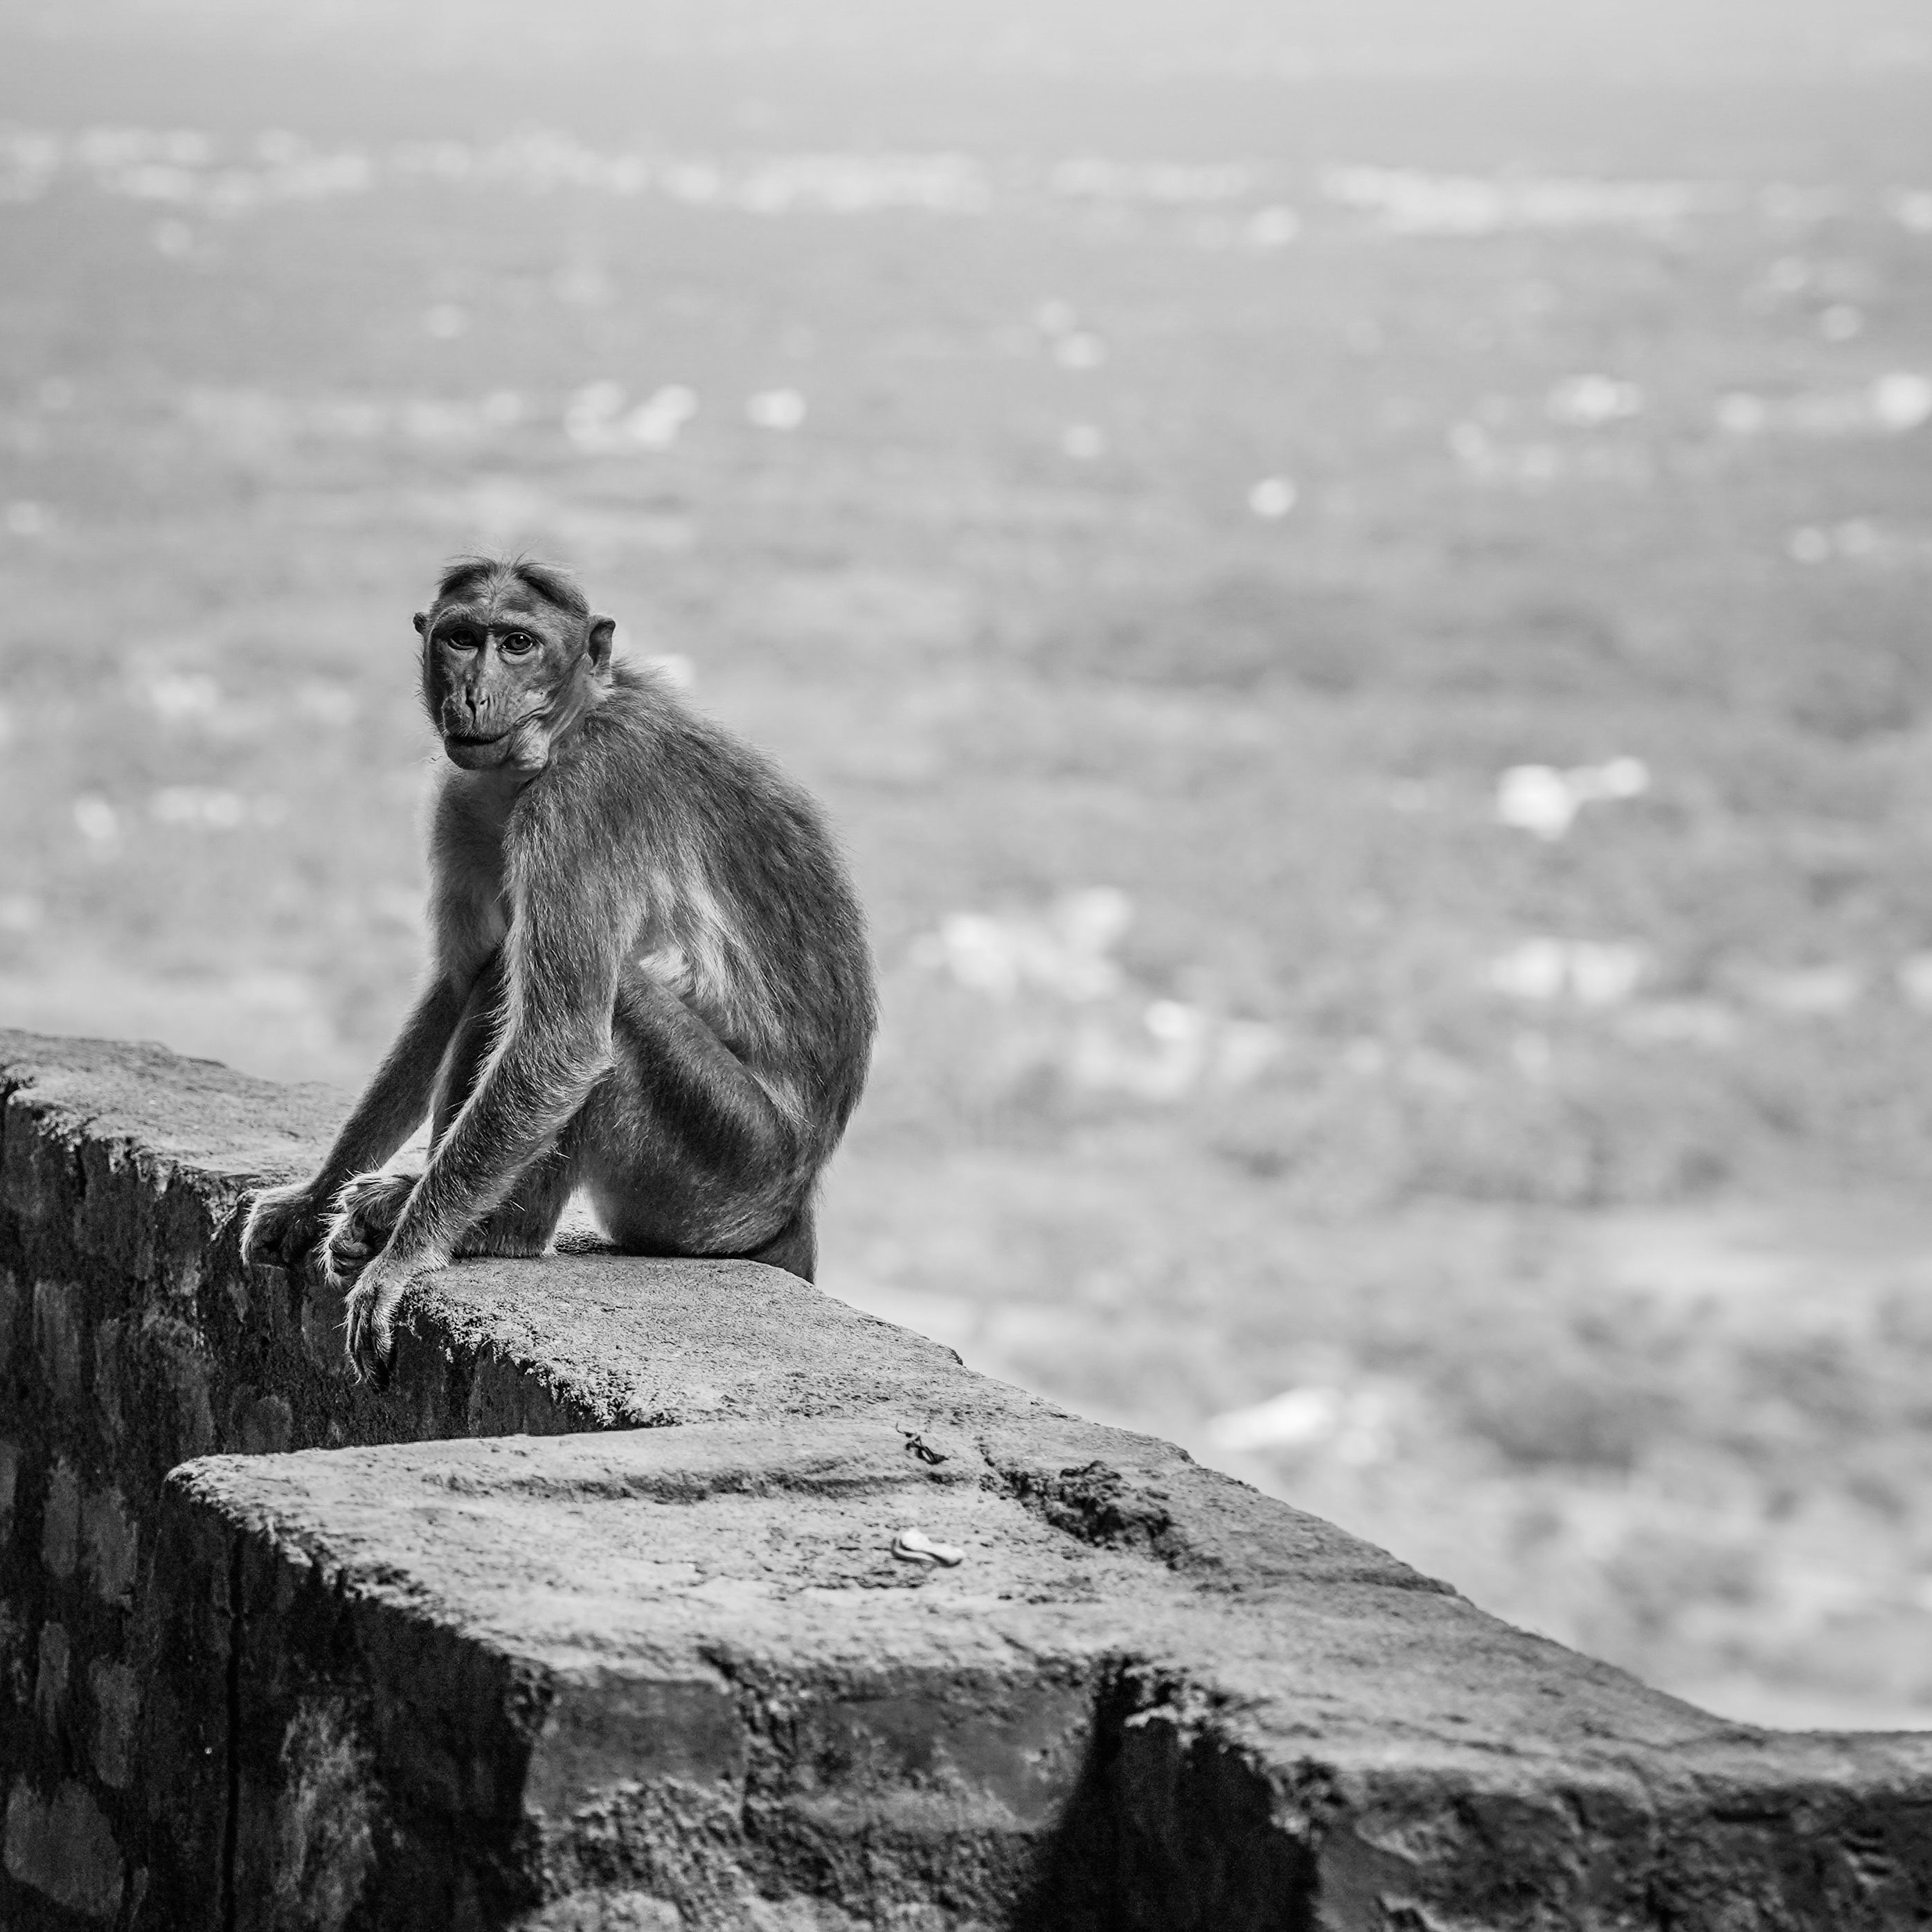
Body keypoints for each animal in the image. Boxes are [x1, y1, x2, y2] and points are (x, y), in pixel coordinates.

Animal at [240, 555, 876, 1383]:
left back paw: (493, 1232)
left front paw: (407, 1257)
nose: (474, 693)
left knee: (614, 1008)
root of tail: (798, 1193)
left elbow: (564, 1043)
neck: (566, 731)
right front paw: (314, 1197)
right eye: (462, 638)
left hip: (728, 1170)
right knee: (497, 977)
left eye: (519, 643)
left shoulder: (583, 801)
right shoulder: (462, 793)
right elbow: (453, 987)